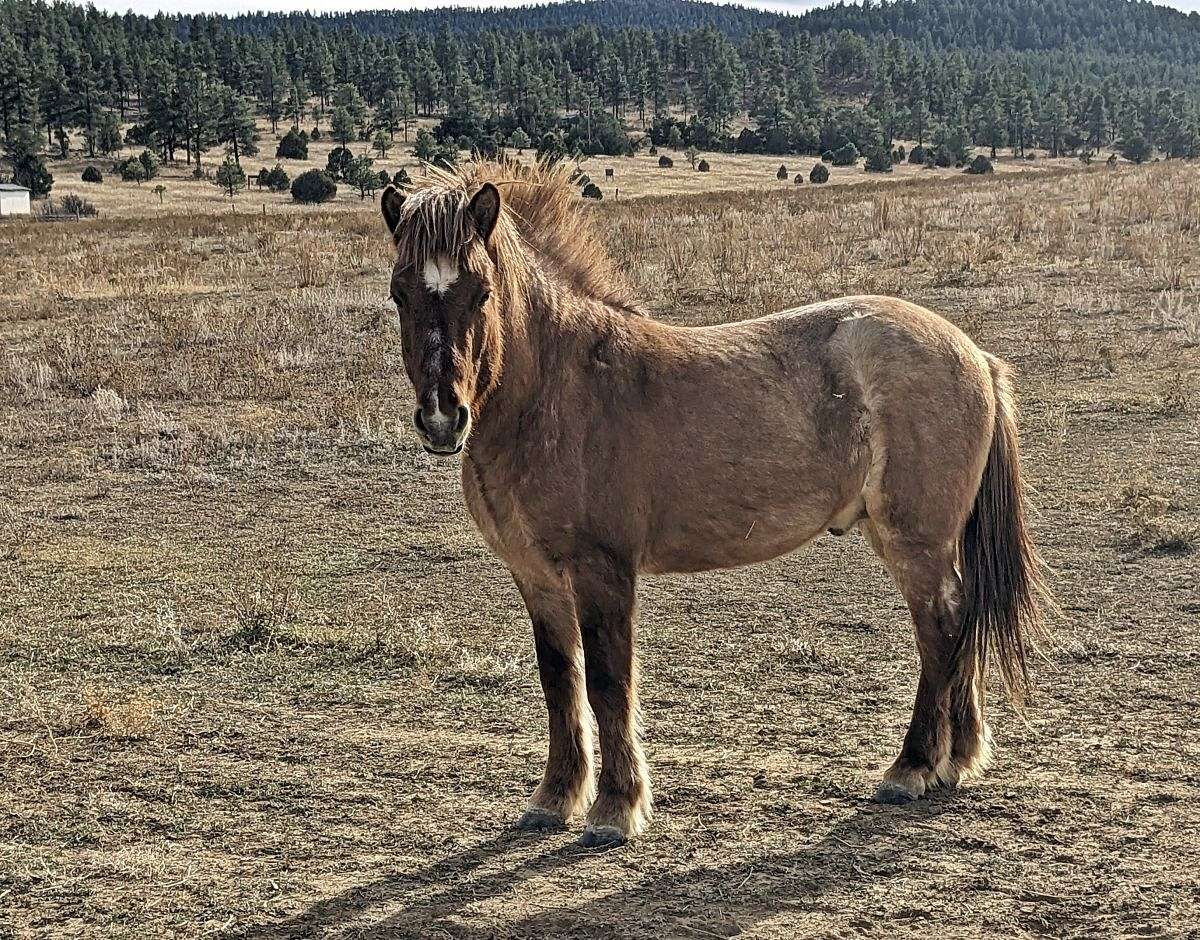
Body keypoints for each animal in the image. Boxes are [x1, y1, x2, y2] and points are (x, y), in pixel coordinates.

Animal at [378, 160, 1050, 848]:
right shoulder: (537, 577)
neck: (556, 394)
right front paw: (556, 797)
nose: (442, 418)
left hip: (914, 543)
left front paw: (615, 807)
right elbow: (560, 680)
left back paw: (913, 767)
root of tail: (975, 355)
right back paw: (958, 757)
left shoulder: (602, 572)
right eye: (400, 293)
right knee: (962, 617)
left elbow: (608, 682)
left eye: (481, 292)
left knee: (941, 629)